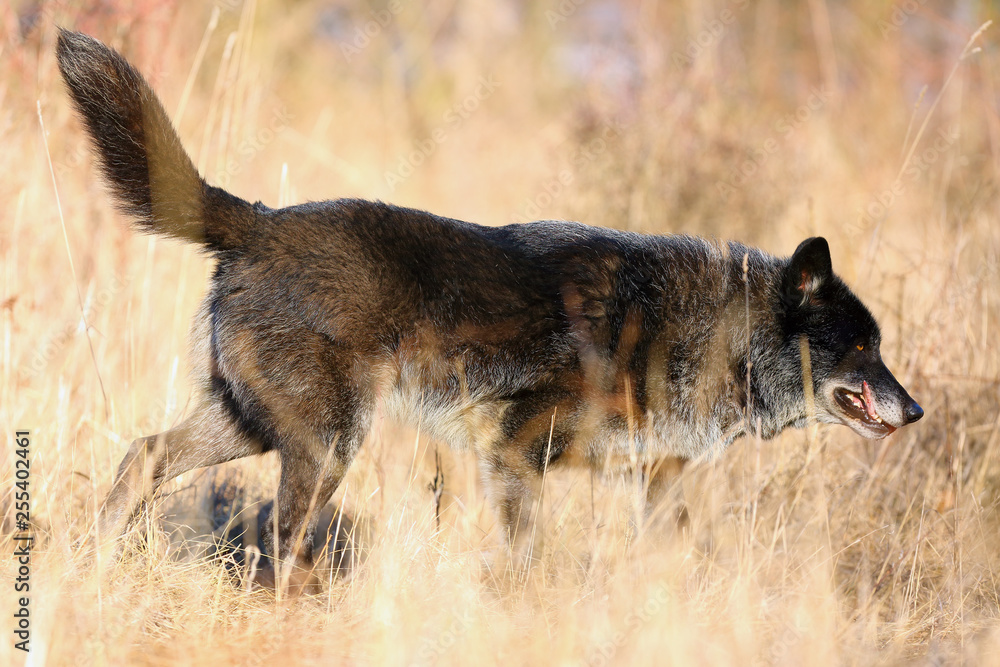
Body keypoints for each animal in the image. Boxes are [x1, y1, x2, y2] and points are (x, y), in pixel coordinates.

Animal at [56, 30, 923, 590]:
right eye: (862, 349)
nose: (914, 409)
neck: (705, 332)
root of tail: (258, 219)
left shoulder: (651, 483)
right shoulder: (515, 457)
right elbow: (526, 561)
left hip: (252, 427)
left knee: (144, 455)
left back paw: (94, 558)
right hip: (327, 443)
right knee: (281, 532)